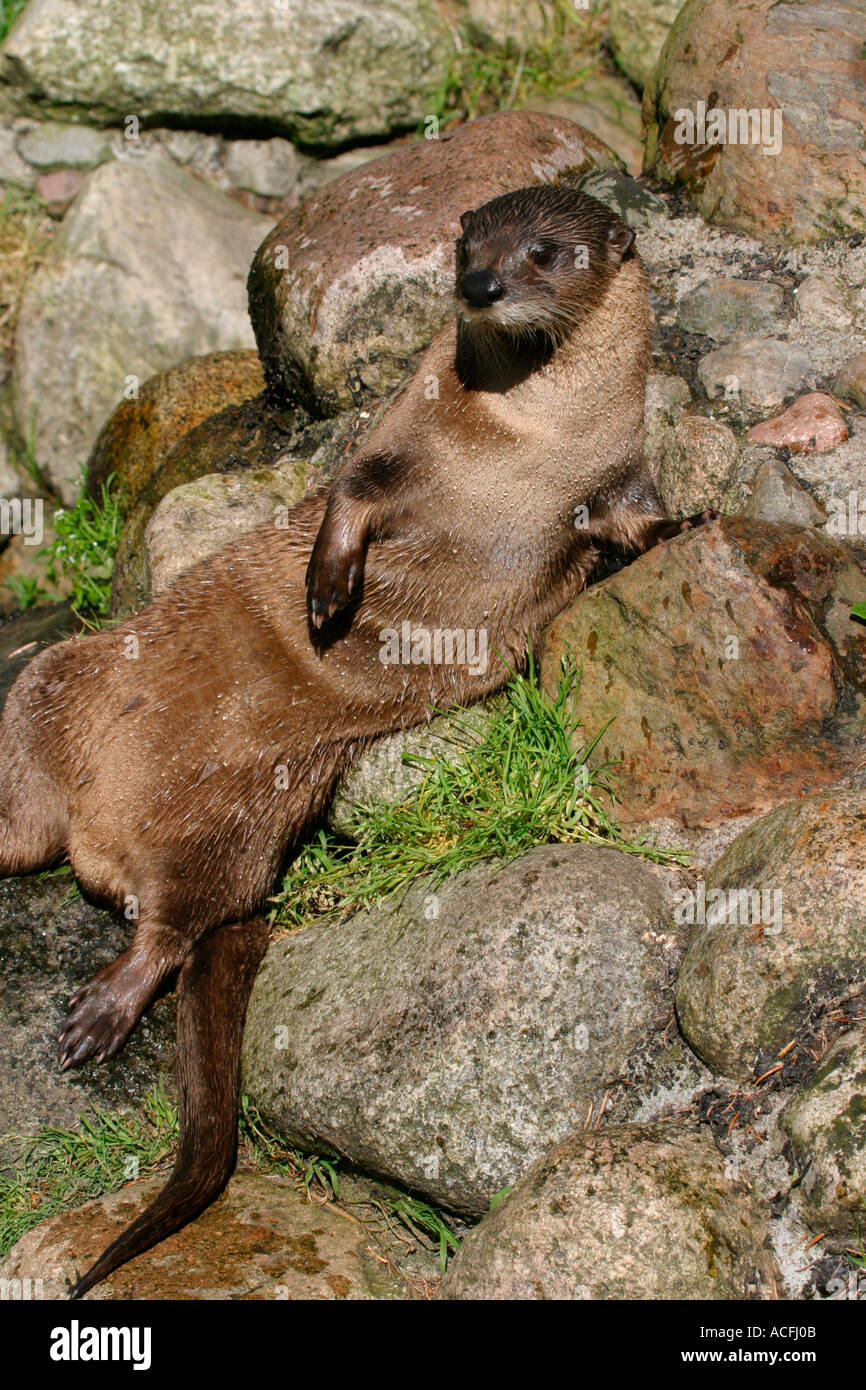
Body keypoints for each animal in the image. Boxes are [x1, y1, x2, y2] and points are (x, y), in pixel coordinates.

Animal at [0, 185, 712, 1297]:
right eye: (468, 241)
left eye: (544, 251)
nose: (481, 284)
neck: (528, 443)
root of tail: (93, 833)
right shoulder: (404, 443)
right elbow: (350, 494)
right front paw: (327, 591)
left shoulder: (612, 475)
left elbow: (635, 525)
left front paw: (689, 526)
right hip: (60, 684)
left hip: (235, 828)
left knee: (177, 927)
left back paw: (103, 1008)